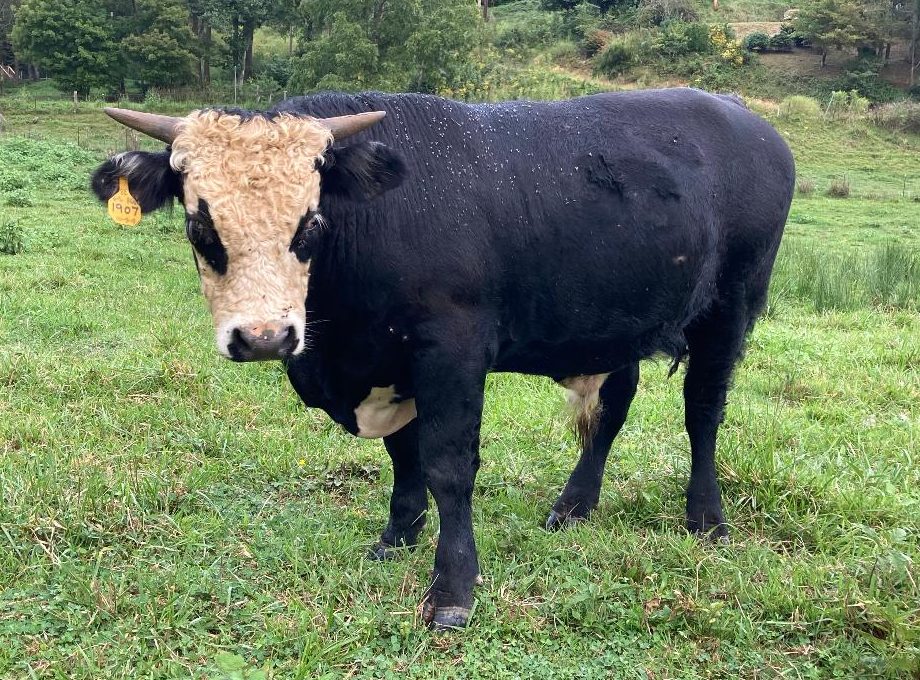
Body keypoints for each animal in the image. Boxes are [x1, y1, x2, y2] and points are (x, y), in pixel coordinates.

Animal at [91, 88, 795, 629]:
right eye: (199, 225)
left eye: (310, 224)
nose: (265, 337)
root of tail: (744, 113)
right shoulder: (390, 366)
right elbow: (404, 456)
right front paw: (396, 536)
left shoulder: (451, 352)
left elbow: (448, 466)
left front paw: (453, 589)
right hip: (613, 323)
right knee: (610, 411)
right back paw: (573, 506)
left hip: (730, 304)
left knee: (703, 411)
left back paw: (705, 517)